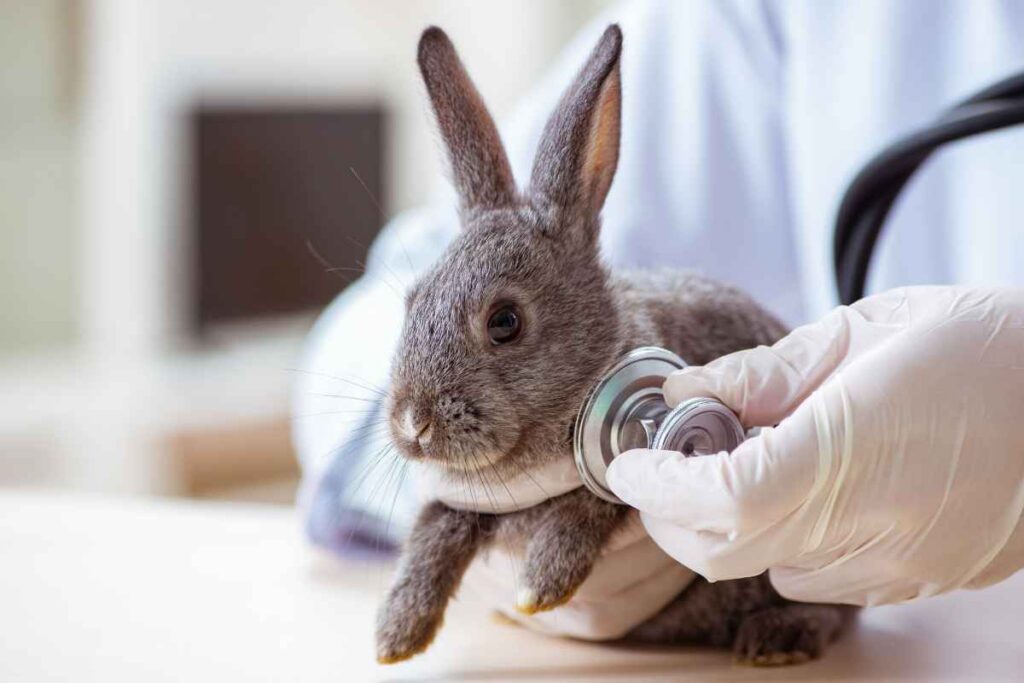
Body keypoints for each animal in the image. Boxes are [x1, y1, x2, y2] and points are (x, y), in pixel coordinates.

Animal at [375, 25, 857, 667]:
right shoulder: (461, 503)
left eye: (504, 322)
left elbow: (596, 502)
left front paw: (541, 585)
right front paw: (396, 634)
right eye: (411, 300)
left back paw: (777, 638)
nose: (413, 424)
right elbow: (435, 527)